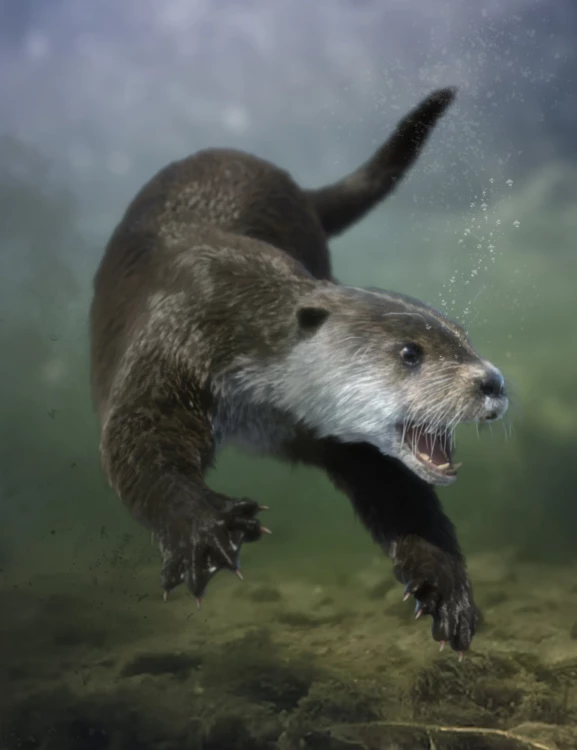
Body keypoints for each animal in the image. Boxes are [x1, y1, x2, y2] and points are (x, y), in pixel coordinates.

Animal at [90, 88, 508, 656]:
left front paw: (447, 590)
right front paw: (205, 529)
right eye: (410, 353)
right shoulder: (169, 344)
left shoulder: (336, 432)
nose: (493, 382)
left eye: (465, 338)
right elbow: (137, 442)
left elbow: (399, 494)